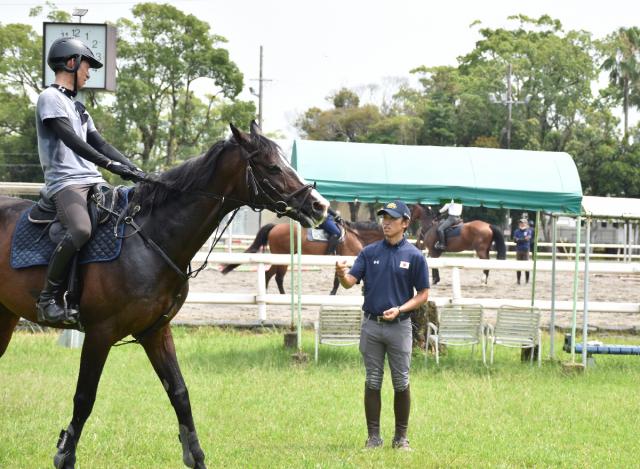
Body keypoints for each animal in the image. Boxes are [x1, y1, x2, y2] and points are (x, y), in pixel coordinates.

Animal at [0, 122, 329, 469]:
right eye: (271, 166)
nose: (320, 206)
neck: (148, 239)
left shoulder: (156, 332)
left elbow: (179, 393)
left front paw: (195, 455)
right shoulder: (100, 333)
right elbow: (84, 397)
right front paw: (65, 454)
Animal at [221, 220, 383, 295]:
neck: (357, 235)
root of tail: (275, 227)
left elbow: (338, 280)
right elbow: (340, 281)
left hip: (279, 259)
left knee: (269, 274)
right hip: (283, 258)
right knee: (277, 277)